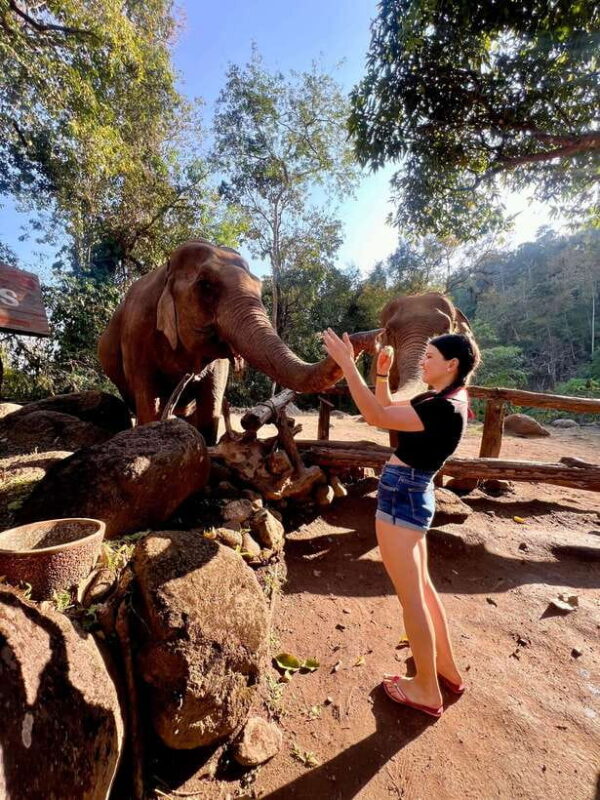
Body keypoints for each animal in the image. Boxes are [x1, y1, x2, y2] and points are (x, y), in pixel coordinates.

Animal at [98, 239, 380, 445]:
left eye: (258, 286)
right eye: (205, 285)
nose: (376, 337)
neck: (167, 270)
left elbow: (211, 405)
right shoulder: (136, 333)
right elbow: (147, 401)